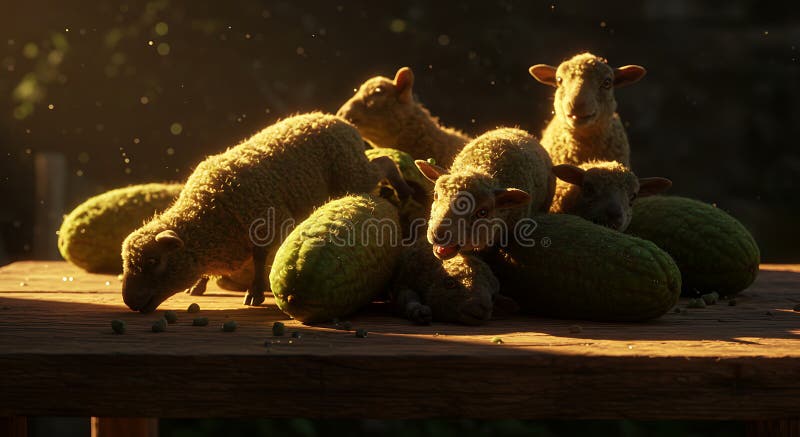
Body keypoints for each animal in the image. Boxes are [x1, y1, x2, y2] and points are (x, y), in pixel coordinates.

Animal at [121, 112, 412, 313]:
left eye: (153, 261)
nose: (129, 301)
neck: (207, 211)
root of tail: (338, 120)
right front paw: (200, 284)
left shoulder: (269, 223)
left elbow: (260, 258)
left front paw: (255, 293)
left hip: (352, 174)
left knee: (385, 162)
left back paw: (405, 191)